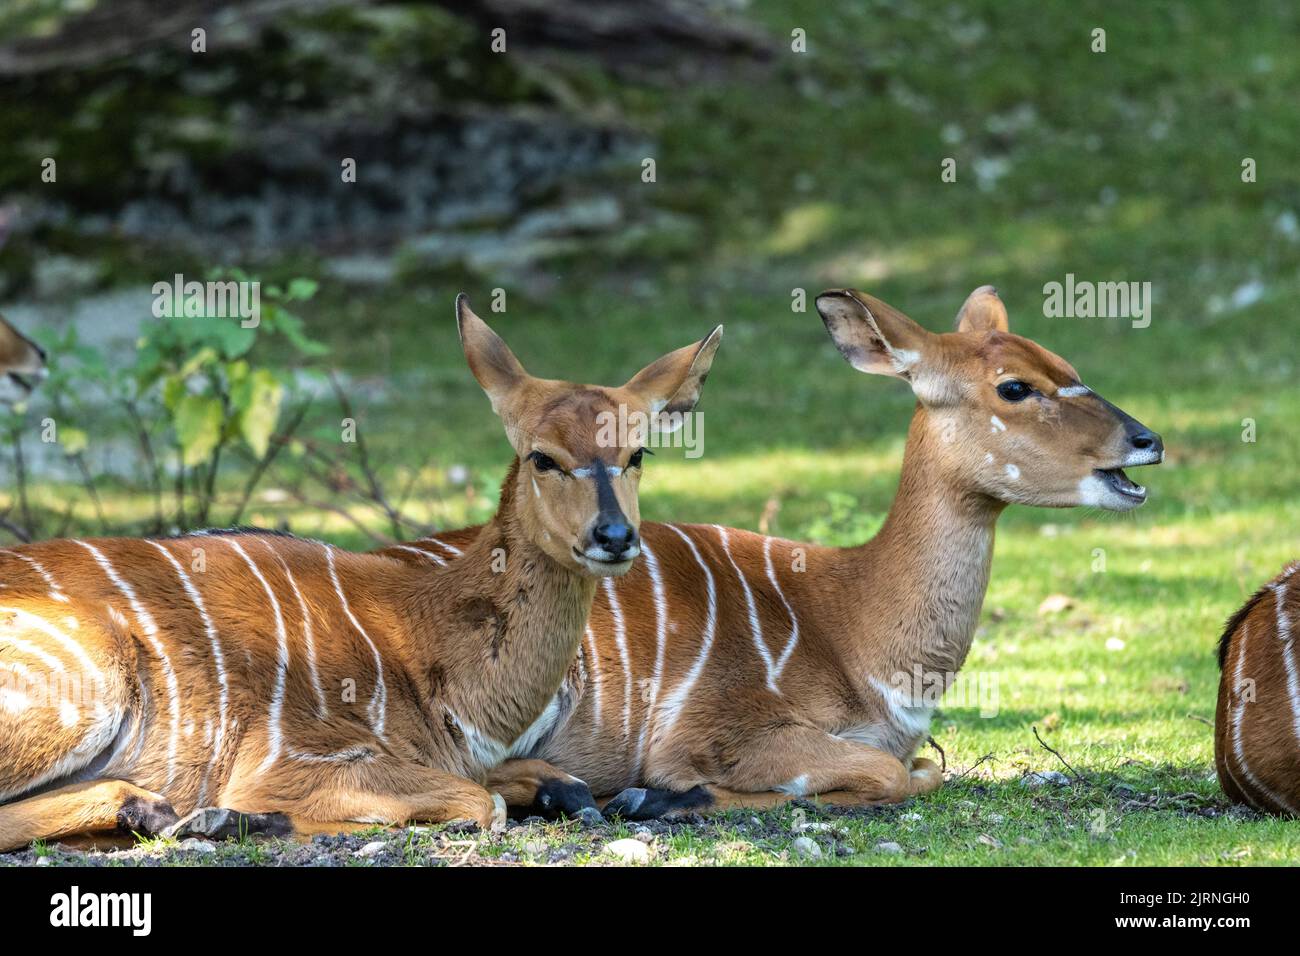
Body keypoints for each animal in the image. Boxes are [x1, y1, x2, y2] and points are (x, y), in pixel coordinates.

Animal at [0, 295, 723, 849]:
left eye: (637, 453)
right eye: (542, 457)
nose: (615, 537)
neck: (421, 641)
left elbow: (553, 784)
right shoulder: (291, 759)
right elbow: (477, 803)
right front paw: (231, 818)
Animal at [393, 286, 1165, 819]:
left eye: (1065, 363)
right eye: (1014, 386)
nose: (1147, 440)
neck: (855, 627)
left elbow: (921, 770)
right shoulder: (719, 731)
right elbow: (884, 776)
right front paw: (658, 798)